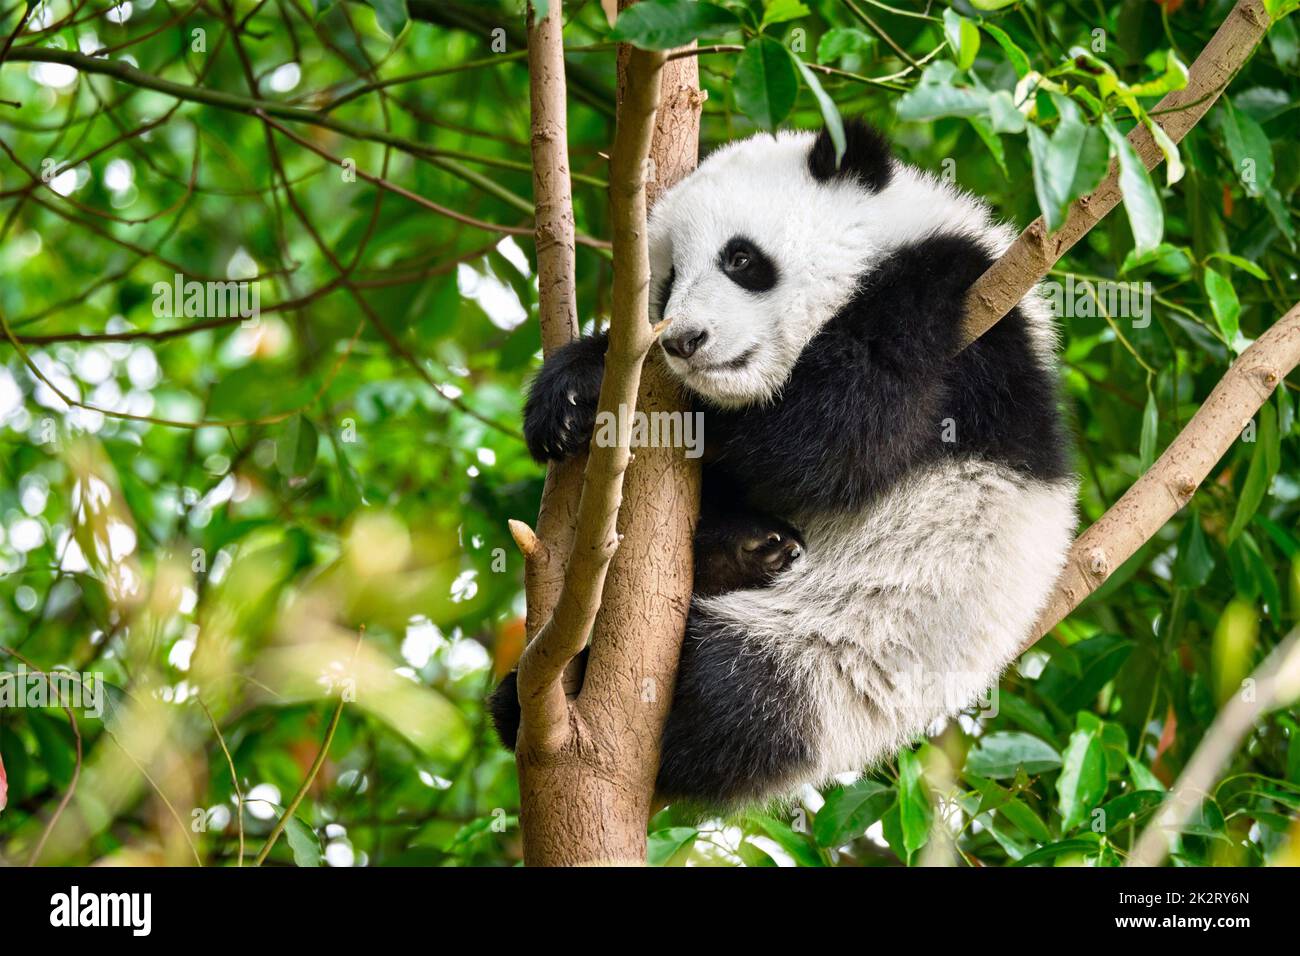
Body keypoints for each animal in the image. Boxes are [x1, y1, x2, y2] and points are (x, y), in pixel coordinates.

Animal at [491, 119, 1078, 809]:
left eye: (741, 259)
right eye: (666, 280)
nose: (683, 341)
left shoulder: (956, 306)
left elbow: (838, 432)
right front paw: (571, 396)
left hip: (841, 655)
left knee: (737, 699)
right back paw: (742, 548)